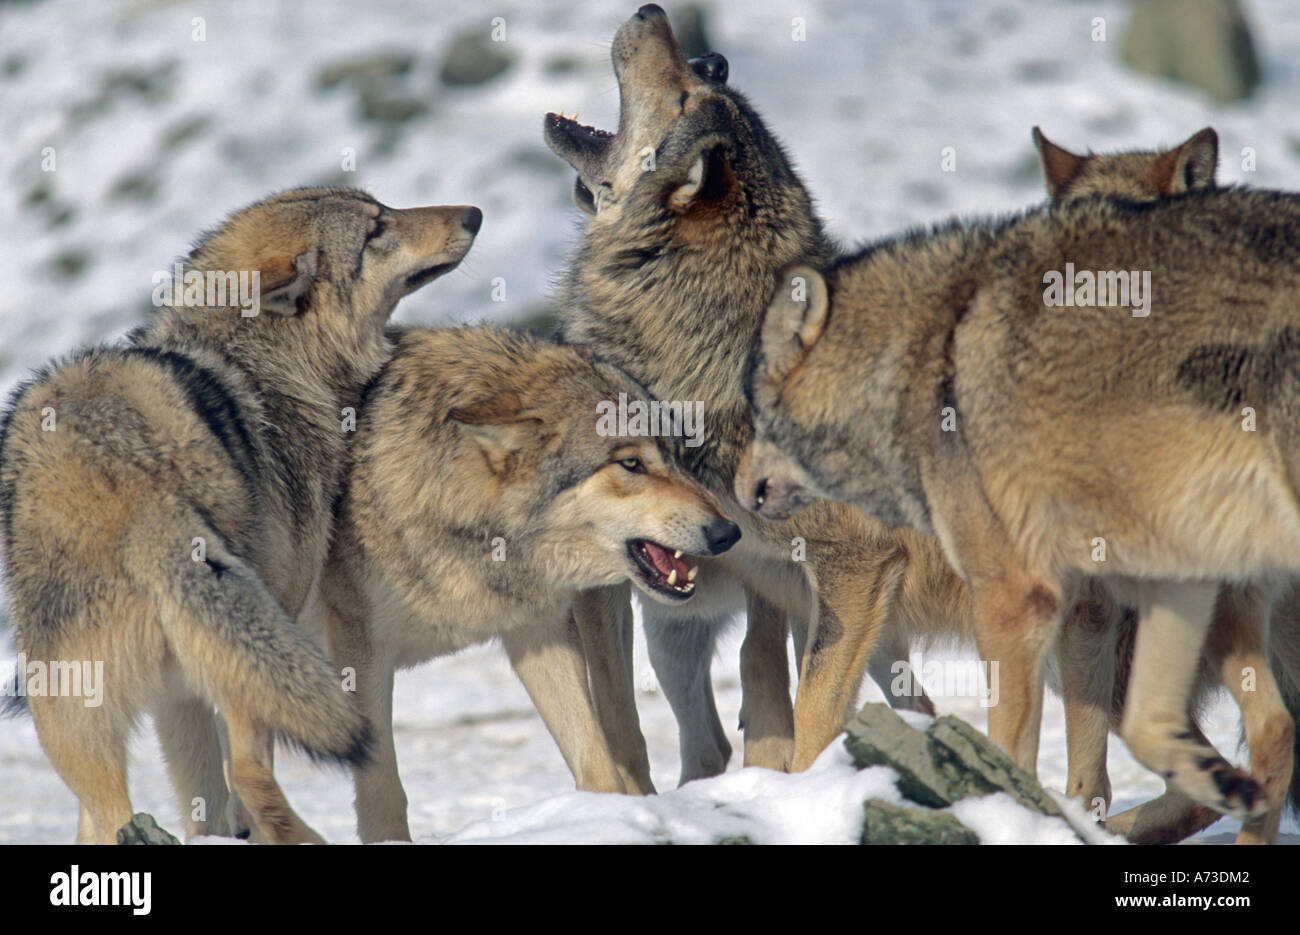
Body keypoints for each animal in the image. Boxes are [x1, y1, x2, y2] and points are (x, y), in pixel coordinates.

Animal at [0, 188, 481, 843]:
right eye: (375, 230)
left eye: (383, 205)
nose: (474, 216)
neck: (264, 362)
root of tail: (129, 491)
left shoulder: (175, 695)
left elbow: (199, 797)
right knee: (252, 772)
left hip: (77, 720)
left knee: (111, 813)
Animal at [317, 326, 740, 843]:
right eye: (631, 464)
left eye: (678, 457)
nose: (728, 533)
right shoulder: (362, 655)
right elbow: (382, 793)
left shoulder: (540, 633)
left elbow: (598, 763)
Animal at [736, 187, 1300, 831]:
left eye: (754, 409)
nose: (736, 491)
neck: (924, 364)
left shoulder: (1011, 597)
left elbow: (1006, 750)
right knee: (1268, 734)